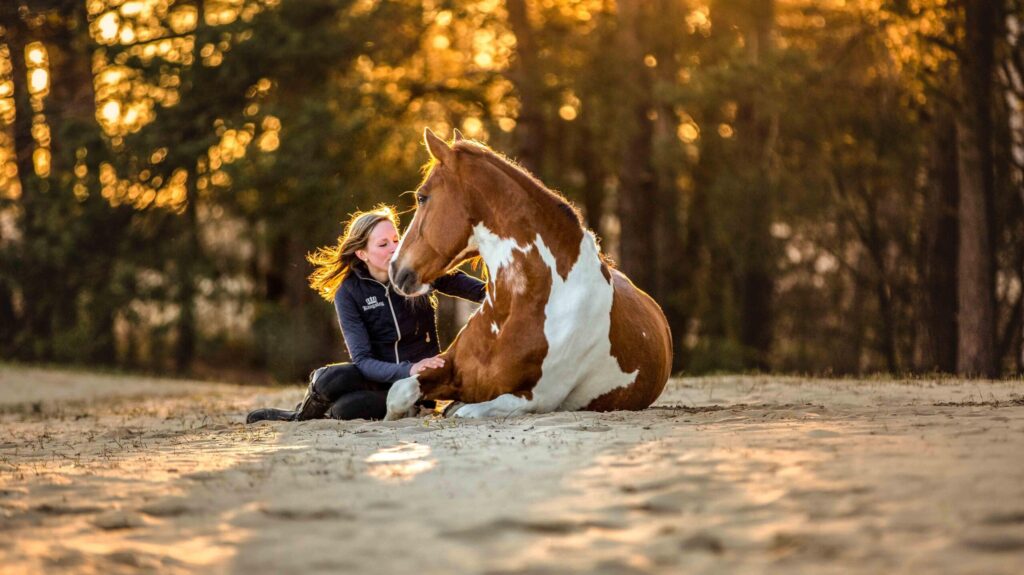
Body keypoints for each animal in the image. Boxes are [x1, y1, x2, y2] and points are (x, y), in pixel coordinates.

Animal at [384, 128, 672, 419]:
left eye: (422, 196)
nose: (395, 269)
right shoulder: (447, 365)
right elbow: (398, 392)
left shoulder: (536, 399)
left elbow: (466, 412)